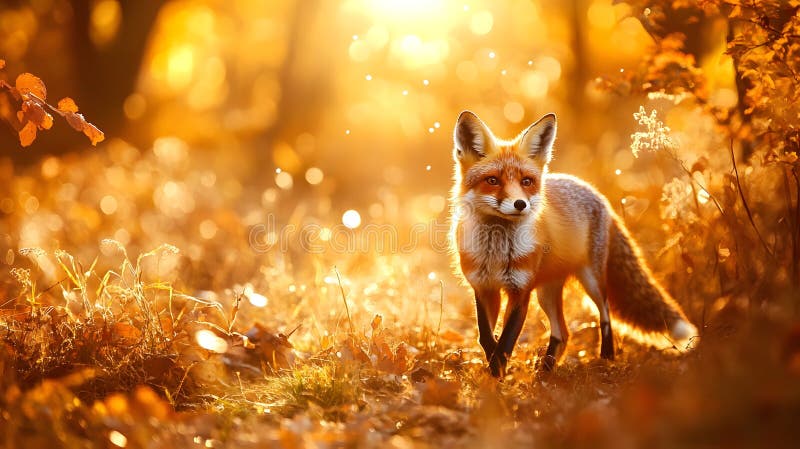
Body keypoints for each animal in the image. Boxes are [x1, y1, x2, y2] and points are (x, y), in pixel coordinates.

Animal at [449, 111, 697, 377]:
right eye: (493, 180)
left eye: (526, 181)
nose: (520, 204)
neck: (495, 250)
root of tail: (595, 192)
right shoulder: (484, 288)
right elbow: (486, 338)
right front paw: (494, 374)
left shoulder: (520, 290)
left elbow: (505, 343)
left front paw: (497, 378)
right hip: (546, 292)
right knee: (563, 332)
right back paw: (545, 372)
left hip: (591, 280)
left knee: (605, 314)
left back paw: (605, 359)